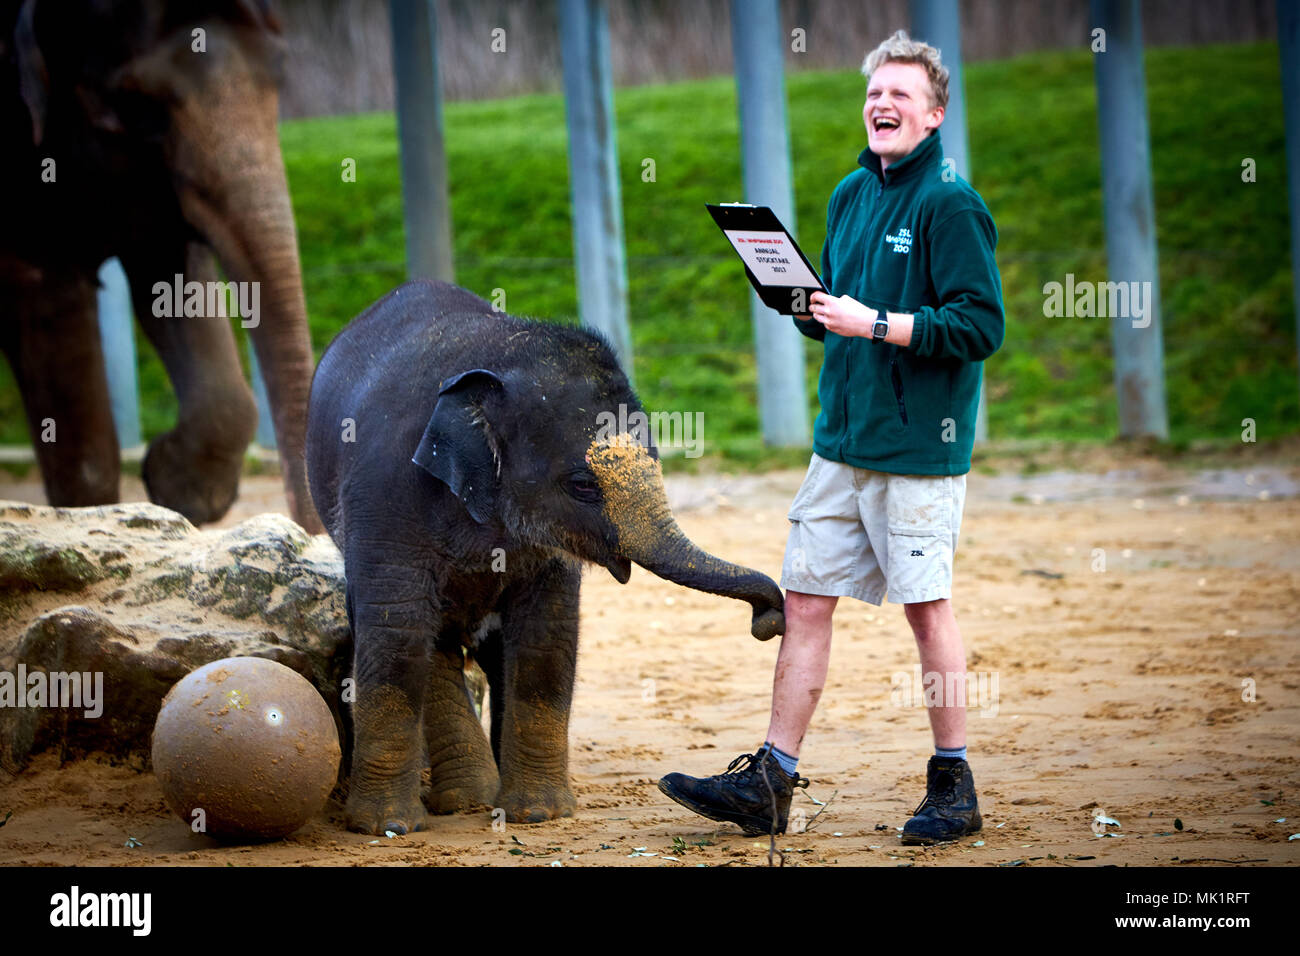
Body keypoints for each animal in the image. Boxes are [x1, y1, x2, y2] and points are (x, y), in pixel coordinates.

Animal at [306, 280, 786, 834]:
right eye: (582, 486)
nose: (769, 619)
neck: (503, 350)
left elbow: (546, 633)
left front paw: (539, 814)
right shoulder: (384, 494)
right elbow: (397, 631)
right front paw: (386, 827)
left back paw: (480, 796)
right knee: (427, 636)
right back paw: (467, 800)